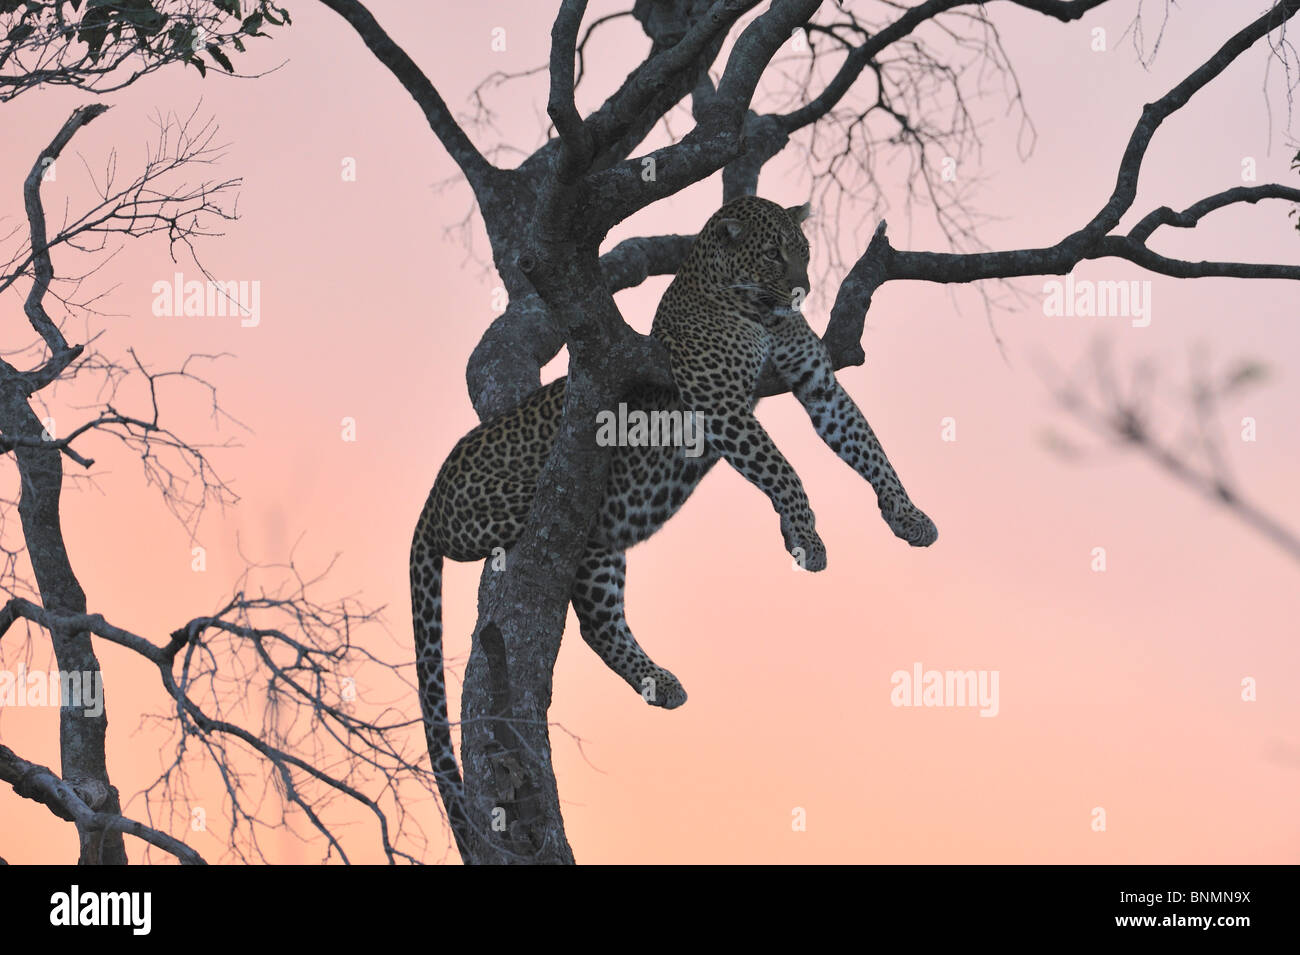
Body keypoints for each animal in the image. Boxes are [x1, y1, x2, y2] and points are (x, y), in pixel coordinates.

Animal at [410, 195, 937, 849]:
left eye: (804, 251)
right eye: (774, 254)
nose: (803, 288)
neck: (749, 306)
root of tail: (431, 495)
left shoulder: (818, 383)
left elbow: (868, 445)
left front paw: (908, 516)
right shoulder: (720, 404)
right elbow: (783, 469)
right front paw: (804, 537)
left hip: (601, 550)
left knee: (599, 623)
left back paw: (660, 684)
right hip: (540, 496)